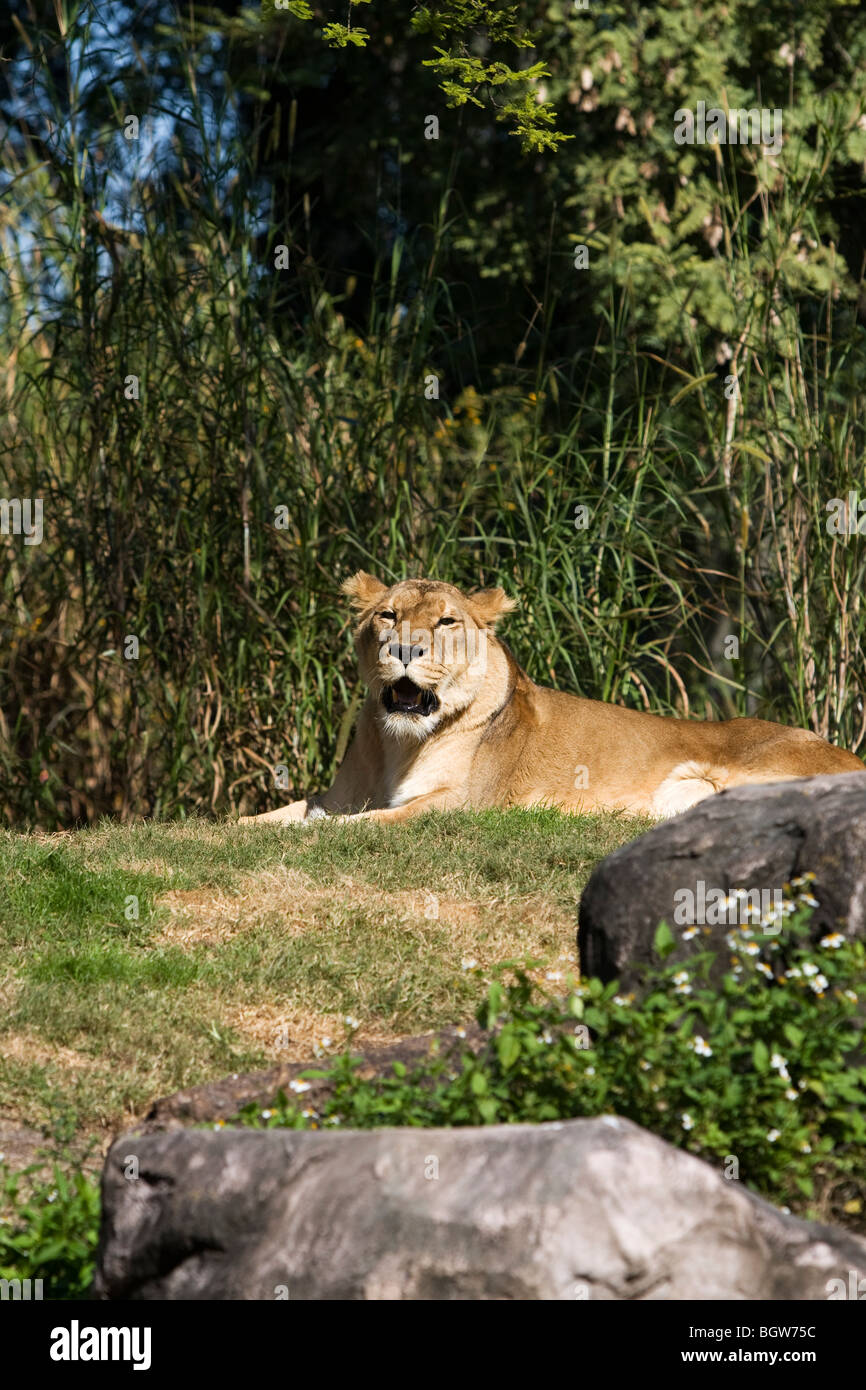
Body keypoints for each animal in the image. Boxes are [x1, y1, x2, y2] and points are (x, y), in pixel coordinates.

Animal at [239, 572, 864, 826]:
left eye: (445, 622)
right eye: (387, 615)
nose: (404, 649)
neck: (398, 744)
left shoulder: (458, 804)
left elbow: (355, 825)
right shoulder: (335, 795)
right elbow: (261, 819)